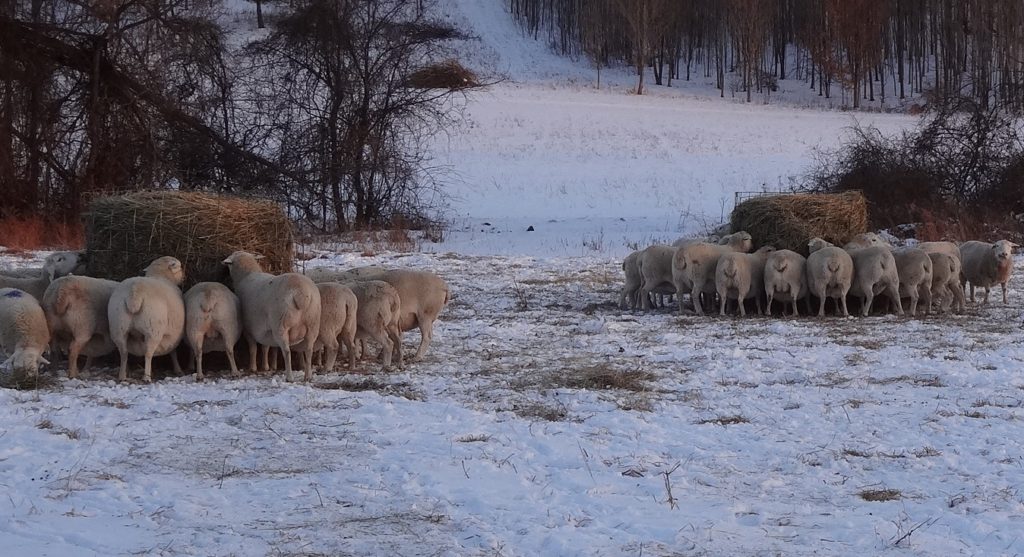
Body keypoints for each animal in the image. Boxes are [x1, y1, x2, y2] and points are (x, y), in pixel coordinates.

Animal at [222, 251, 321, 382]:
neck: (247, 275)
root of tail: (300, 292)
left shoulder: (248, 329)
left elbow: (253, 348)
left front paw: (253, 367)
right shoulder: (265, 330)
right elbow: (265, 347)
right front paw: (266, 366)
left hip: (281, 325)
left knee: (287, 352)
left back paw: (289, 377)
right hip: (313, 324)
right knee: (309, 350)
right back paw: (308, 376)